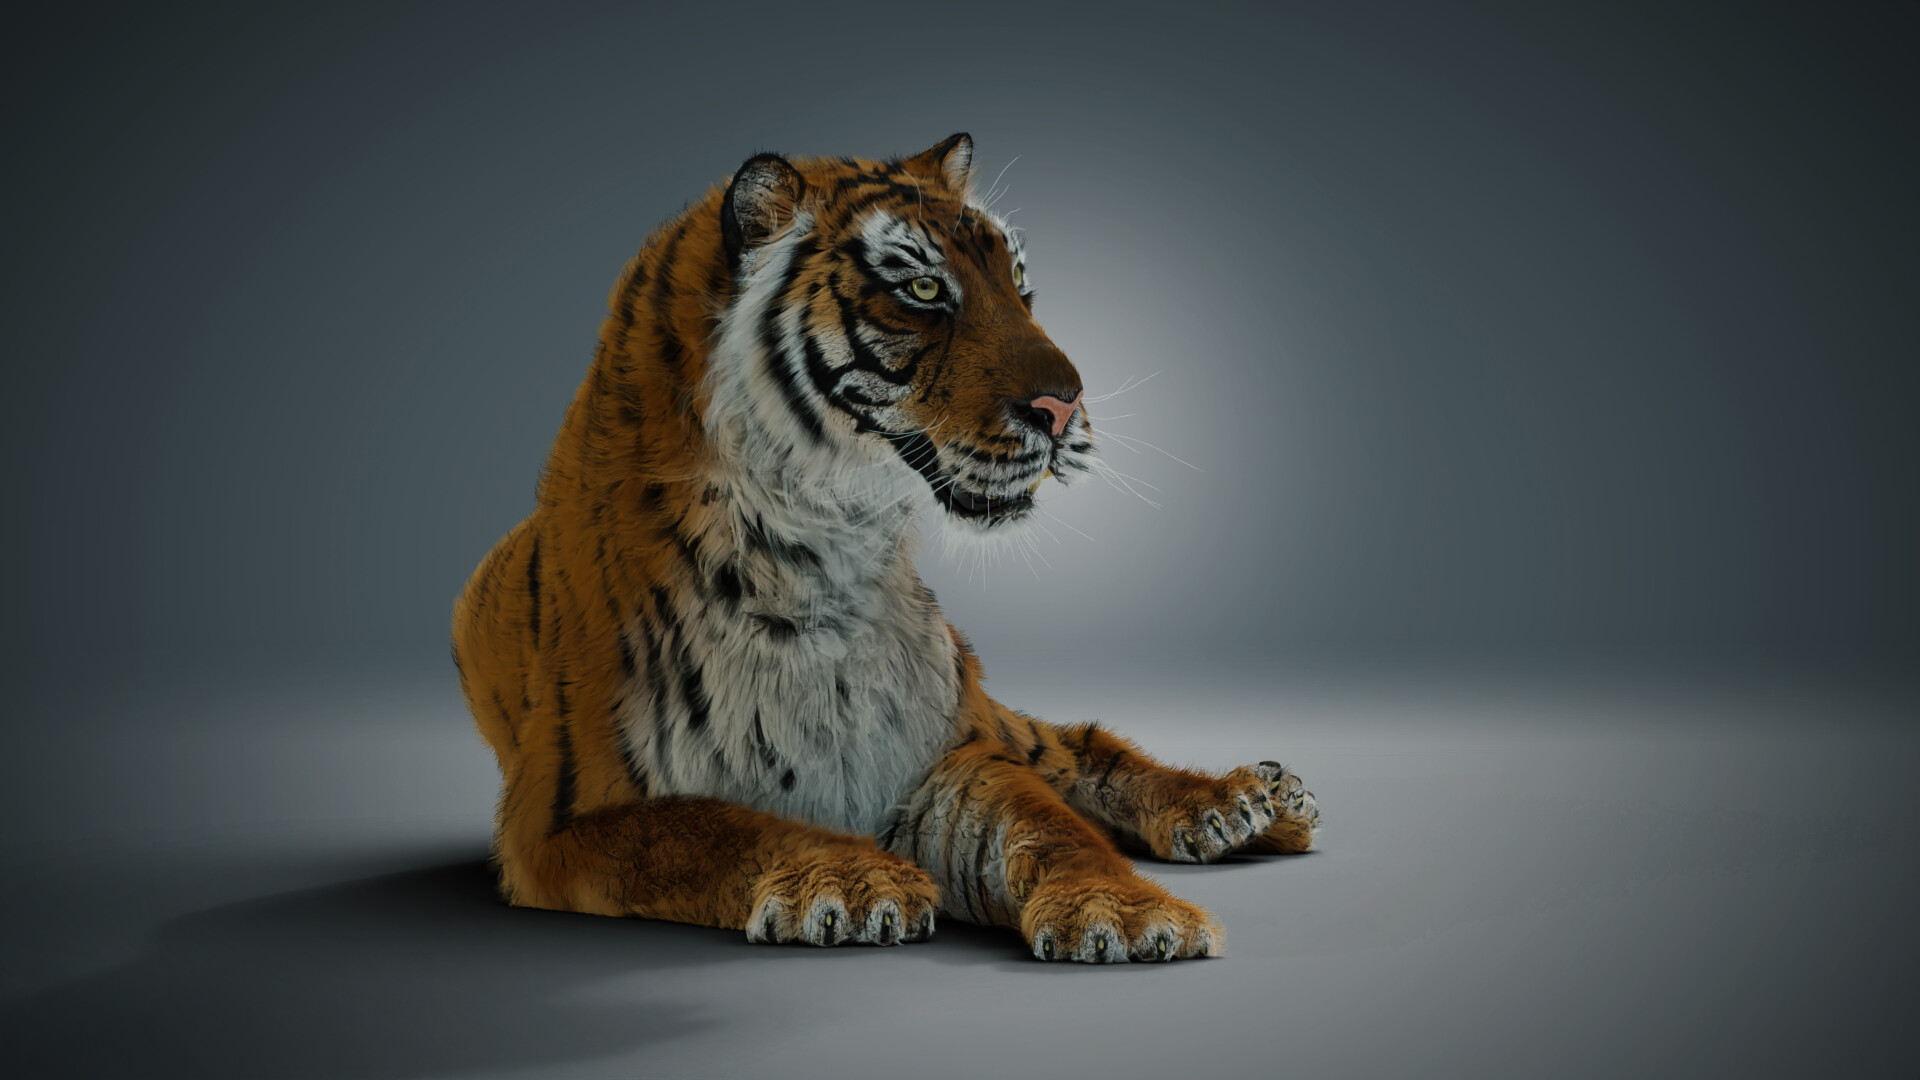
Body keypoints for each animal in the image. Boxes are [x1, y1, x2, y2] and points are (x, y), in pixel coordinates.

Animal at [451, 133, 1320, 963]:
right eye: (924, 290)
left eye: (1019, 283)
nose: (1065, 406)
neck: (820, 556)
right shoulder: (566, 819)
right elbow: (717, 827)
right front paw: (850, 880)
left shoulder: (943, 753)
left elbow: (1048, 826)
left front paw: (1124, 912)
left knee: (1073, 747)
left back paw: (1250, 804)